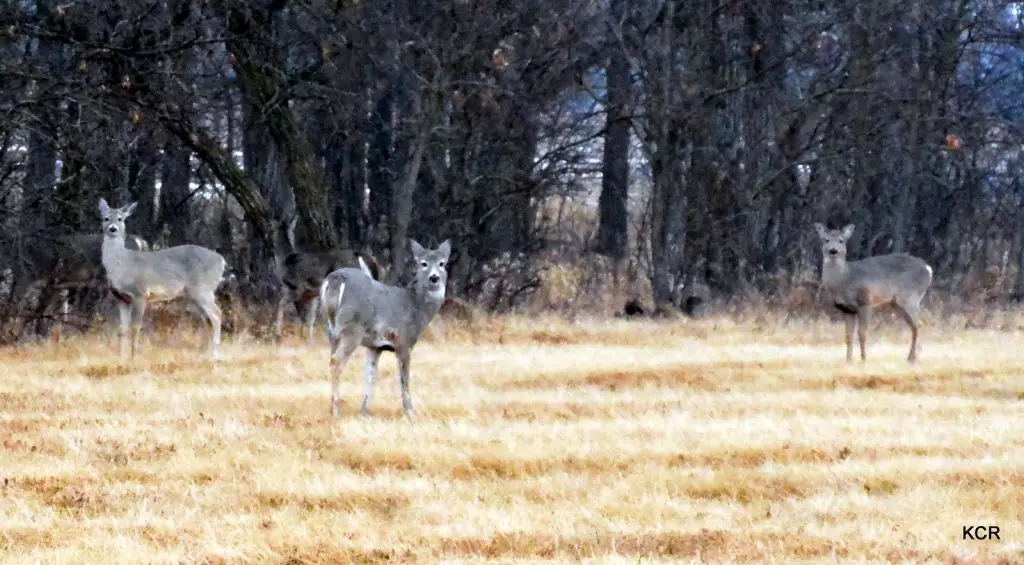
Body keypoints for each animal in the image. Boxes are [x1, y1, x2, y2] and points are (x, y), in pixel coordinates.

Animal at [97, 196, 226, 360]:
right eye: (105, 218)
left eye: (120, 219)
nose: (112, 228)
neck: (123, 265)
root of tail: (221, 260)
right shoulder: (121, 298)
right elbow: (122, 329)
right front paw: (121, 358)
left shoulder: (140, 293)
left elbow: (135, 327)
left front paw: (134, 358)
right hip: (192, 295)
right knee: (208, 320)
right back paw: (204, 355)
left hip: (203, 289)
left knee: (217, 314)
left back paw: (215, 356)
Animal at [270, 214, 382, 343]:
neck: (285, 260)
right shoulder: (311, 294)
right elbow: (310, 317)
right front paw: (308, 339)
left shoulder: (296, 287)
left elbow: (284, 306)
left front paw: (278, 334)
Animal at [317, 236, 450, 417]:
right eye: (423, 263)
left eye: (442, 263)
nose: (434, 278)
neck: (416, 307)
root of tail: (335, 279)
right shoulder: (403, 342)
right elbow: (404, 378)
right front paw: (410, 412)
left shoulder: (375, 346)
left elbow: (370, 376)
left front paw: (364, 411)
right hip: (353, 329)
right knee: (336, 362)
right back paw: (335, 410)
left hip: (330, 328)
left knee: (332, 358)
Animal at [811, 223, 933, 364]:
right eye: (826, 240)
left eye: (841, 241)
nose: (833, 250)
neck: (845, 280)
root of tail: (928, 269)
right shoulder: (846, 309)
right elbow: (848, 335)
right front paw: (848, 360)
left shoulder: (865, 301)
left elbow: (862, 332)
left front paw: (863, 359)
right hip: (896, 303)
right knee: (914, 325)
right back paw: (911, 358)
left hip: (909, 297)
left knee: (919, 323)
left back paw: (913, 358)